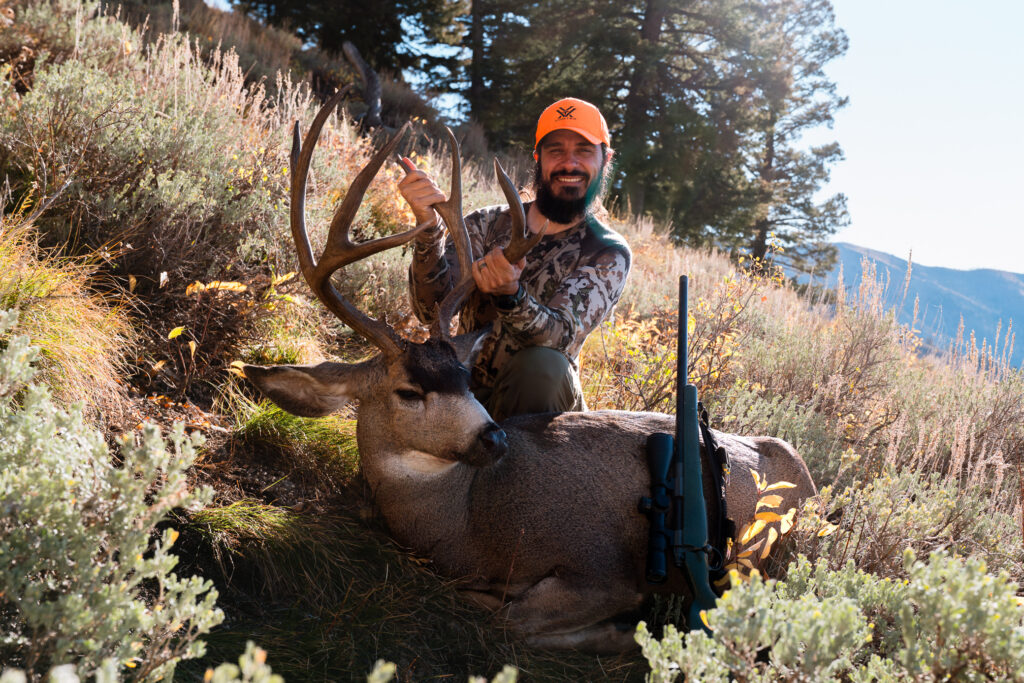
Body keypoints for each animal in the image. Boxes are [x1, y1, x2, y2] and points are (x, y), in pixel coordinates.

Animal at [242, 89, 817, 653]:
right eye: (408, 391)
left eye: (465, 380)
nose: (493, 437)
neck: (471, 522)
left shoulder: (603, 570)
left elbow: (512, 618)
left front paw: (623, 631)